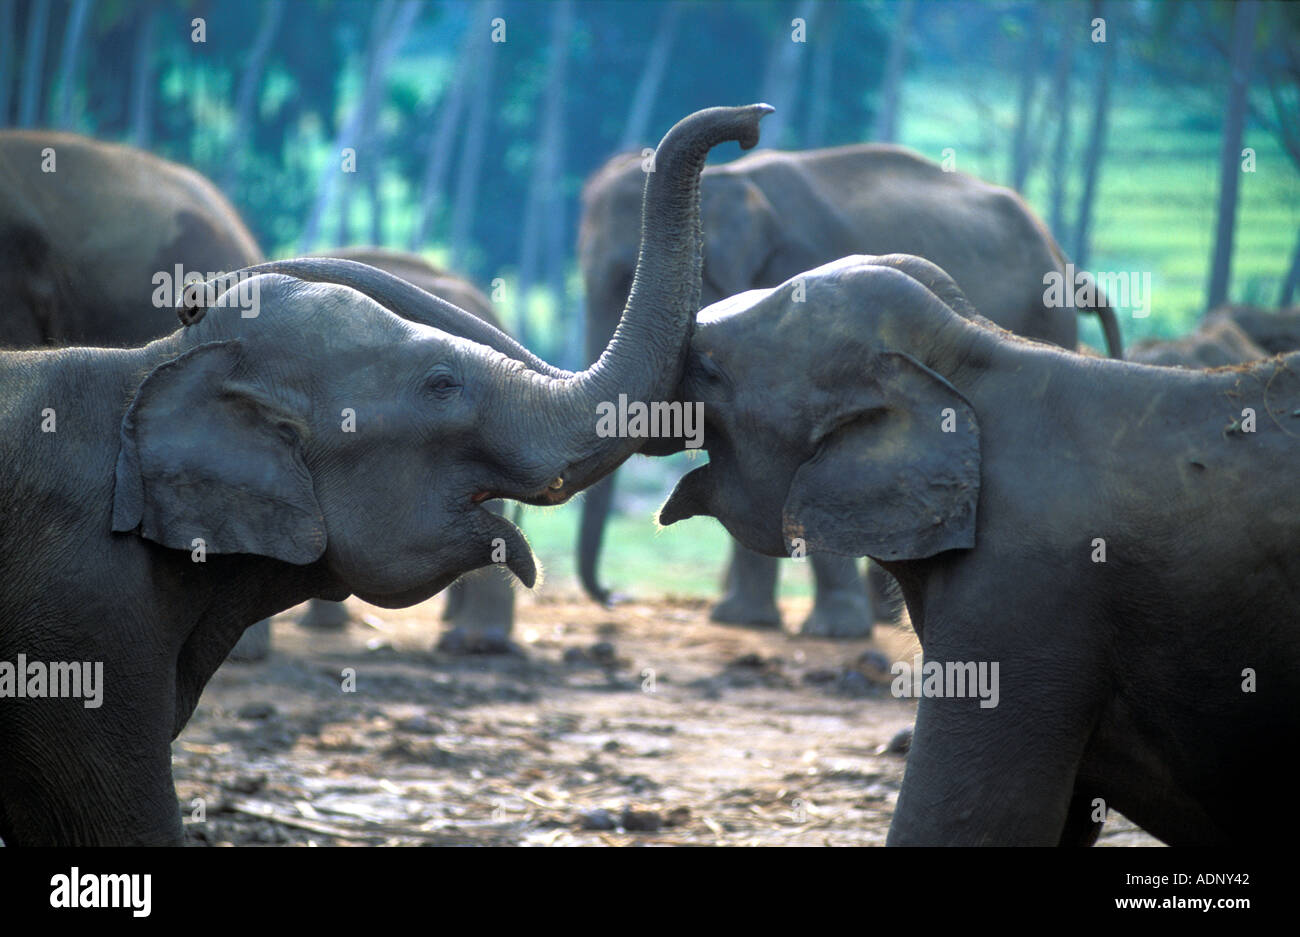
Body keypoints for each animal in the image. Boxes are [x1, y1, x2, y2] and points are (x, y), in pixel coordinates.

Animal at [577, 142, 1124, 637]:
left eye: (624, 276)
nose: (616, 596)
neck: (731, 176)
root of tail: (1064, 260)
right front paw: (742, 621)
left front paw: (826, 630)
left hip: (1045, 318)